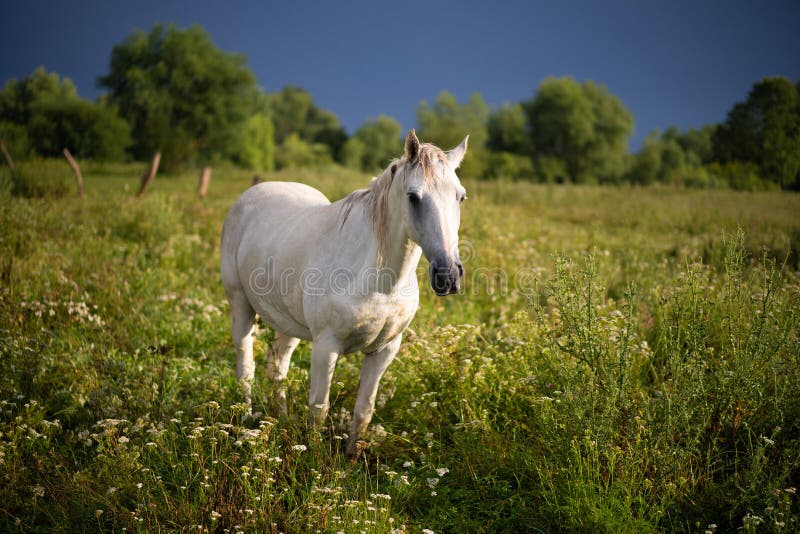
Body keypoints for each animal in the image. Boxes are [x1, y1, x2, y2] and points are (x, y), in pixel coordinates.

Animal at [220, 129, 467, 454]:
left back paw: (280, 420)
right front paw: (313, 457)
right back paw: (245, 419)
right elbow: (319, 409)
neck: (380, 283)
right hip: (241, 306)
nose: (448, 275)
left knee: (277, 367)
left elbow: (364, 410)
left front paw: (352, 457)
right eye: (413, 196)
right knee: (245, 366)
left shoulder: (384, 350)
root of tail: (251, 194)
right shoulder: (326, 346)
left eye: (460, 196)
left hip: (289, 323)